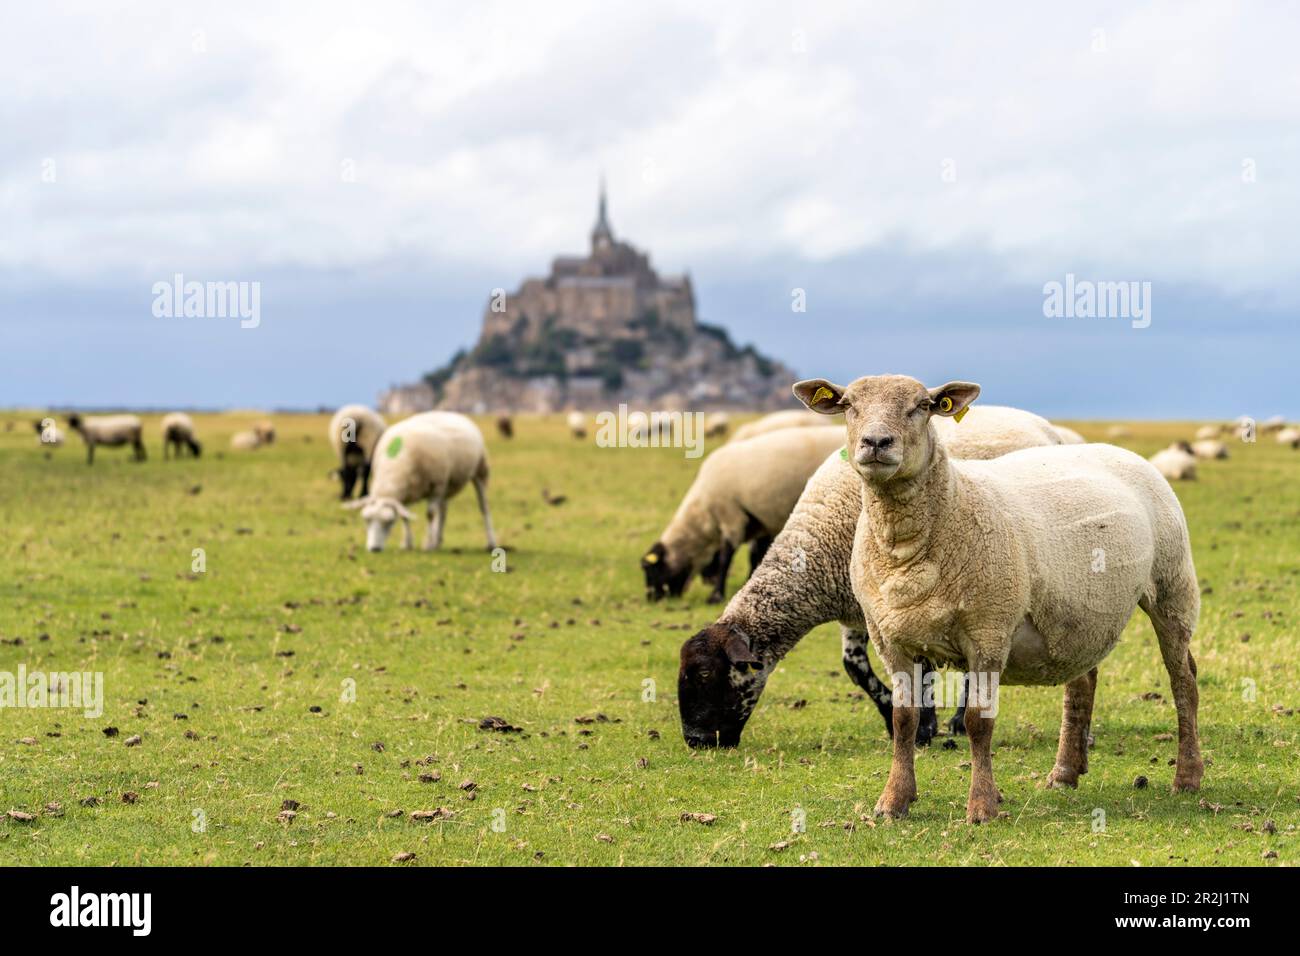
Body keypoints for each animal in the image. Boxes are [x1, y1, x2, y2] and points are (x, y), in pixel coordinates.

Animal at [344, 411, 497, 553]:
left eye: (389, 521)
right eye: (366, 520)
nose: (374, 549)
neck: (394, 467)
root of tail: (452, 413)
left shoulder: (436, 485)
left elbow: (430, 514)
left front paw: (428, 545)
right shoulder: (408, 492)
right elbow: (405, 517)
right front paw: (407, 544)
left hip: (479, 471)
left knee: (483, 507)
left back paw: (491, 542)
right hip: (446, 484)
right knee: (443, 511)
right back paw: (437, 540)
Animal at [643, 426, 846, 604]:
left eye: (651, 570)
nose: (651, 599)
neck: (703, 514)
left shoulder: (731, 516)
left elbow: (726, 558)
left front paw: (716, 595)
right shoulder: (761, 523)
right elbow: (756, 554)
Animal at [677, 403, 1066, 749]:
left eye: (707, 675)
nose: (696, 741)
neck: (819, 545)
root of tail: (1047, 429)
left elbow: (921, 668)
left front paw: (925, 728)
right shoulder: (855, 603)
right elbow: (854, 667)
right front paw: (895, 719)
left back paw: (957, 720)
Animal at [790, 374, 1201, 823]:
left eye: (923, 406)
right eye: (848, 404)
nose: (876, 442)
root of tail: (1120, 451)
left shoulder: (988, 631)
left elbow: (978, 721)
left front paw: (982, 805)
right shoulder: (890, 640)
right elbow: (903, 721)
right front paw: (893, 801)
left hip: (1172, 586)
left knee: (1184, 680)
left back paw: (1187, 777)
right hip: (1079, 610)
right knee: (1082, 681)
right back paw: (1065, 773)